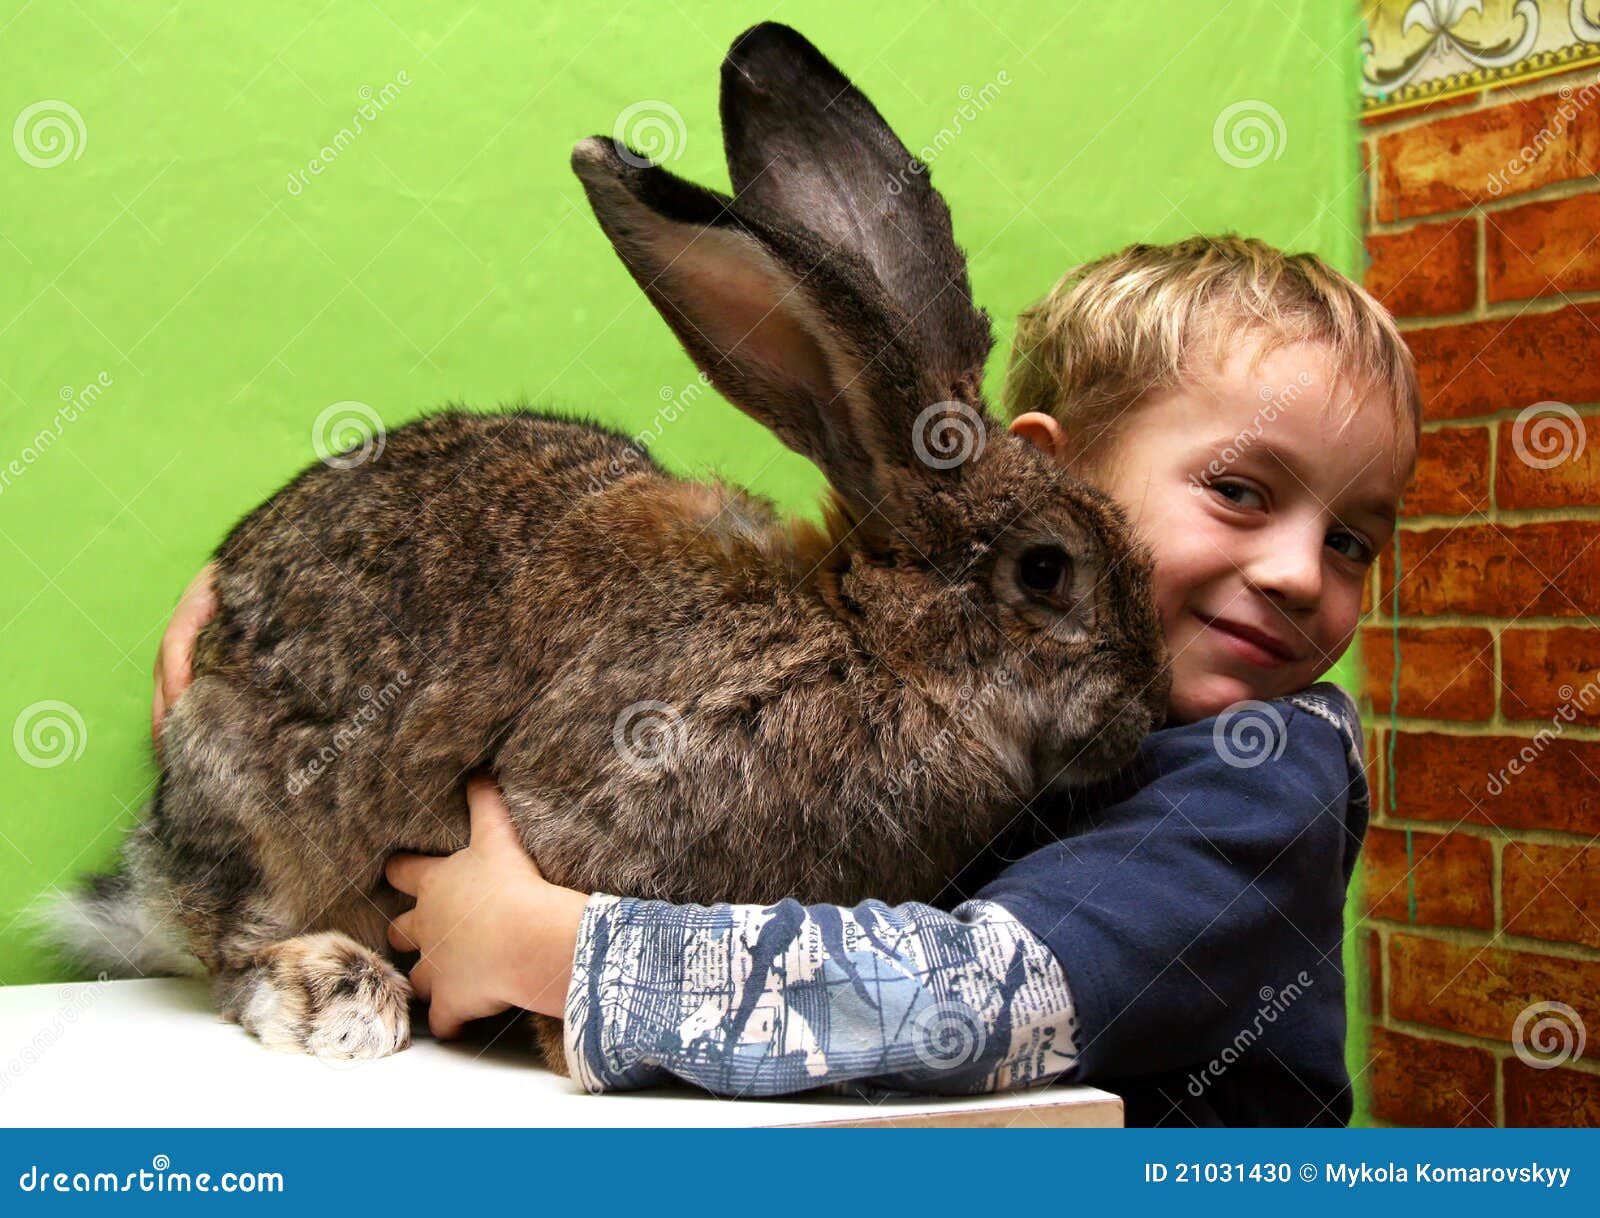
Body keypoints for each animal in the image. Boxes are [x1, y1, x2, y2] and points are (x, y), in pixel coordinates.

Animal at [40, 22, 1169, 1073]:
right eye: (1044, 569)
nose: (1147, 706)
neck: (871, 642)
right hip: (262, 810)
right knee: (231, 942)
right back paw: (339, 995)